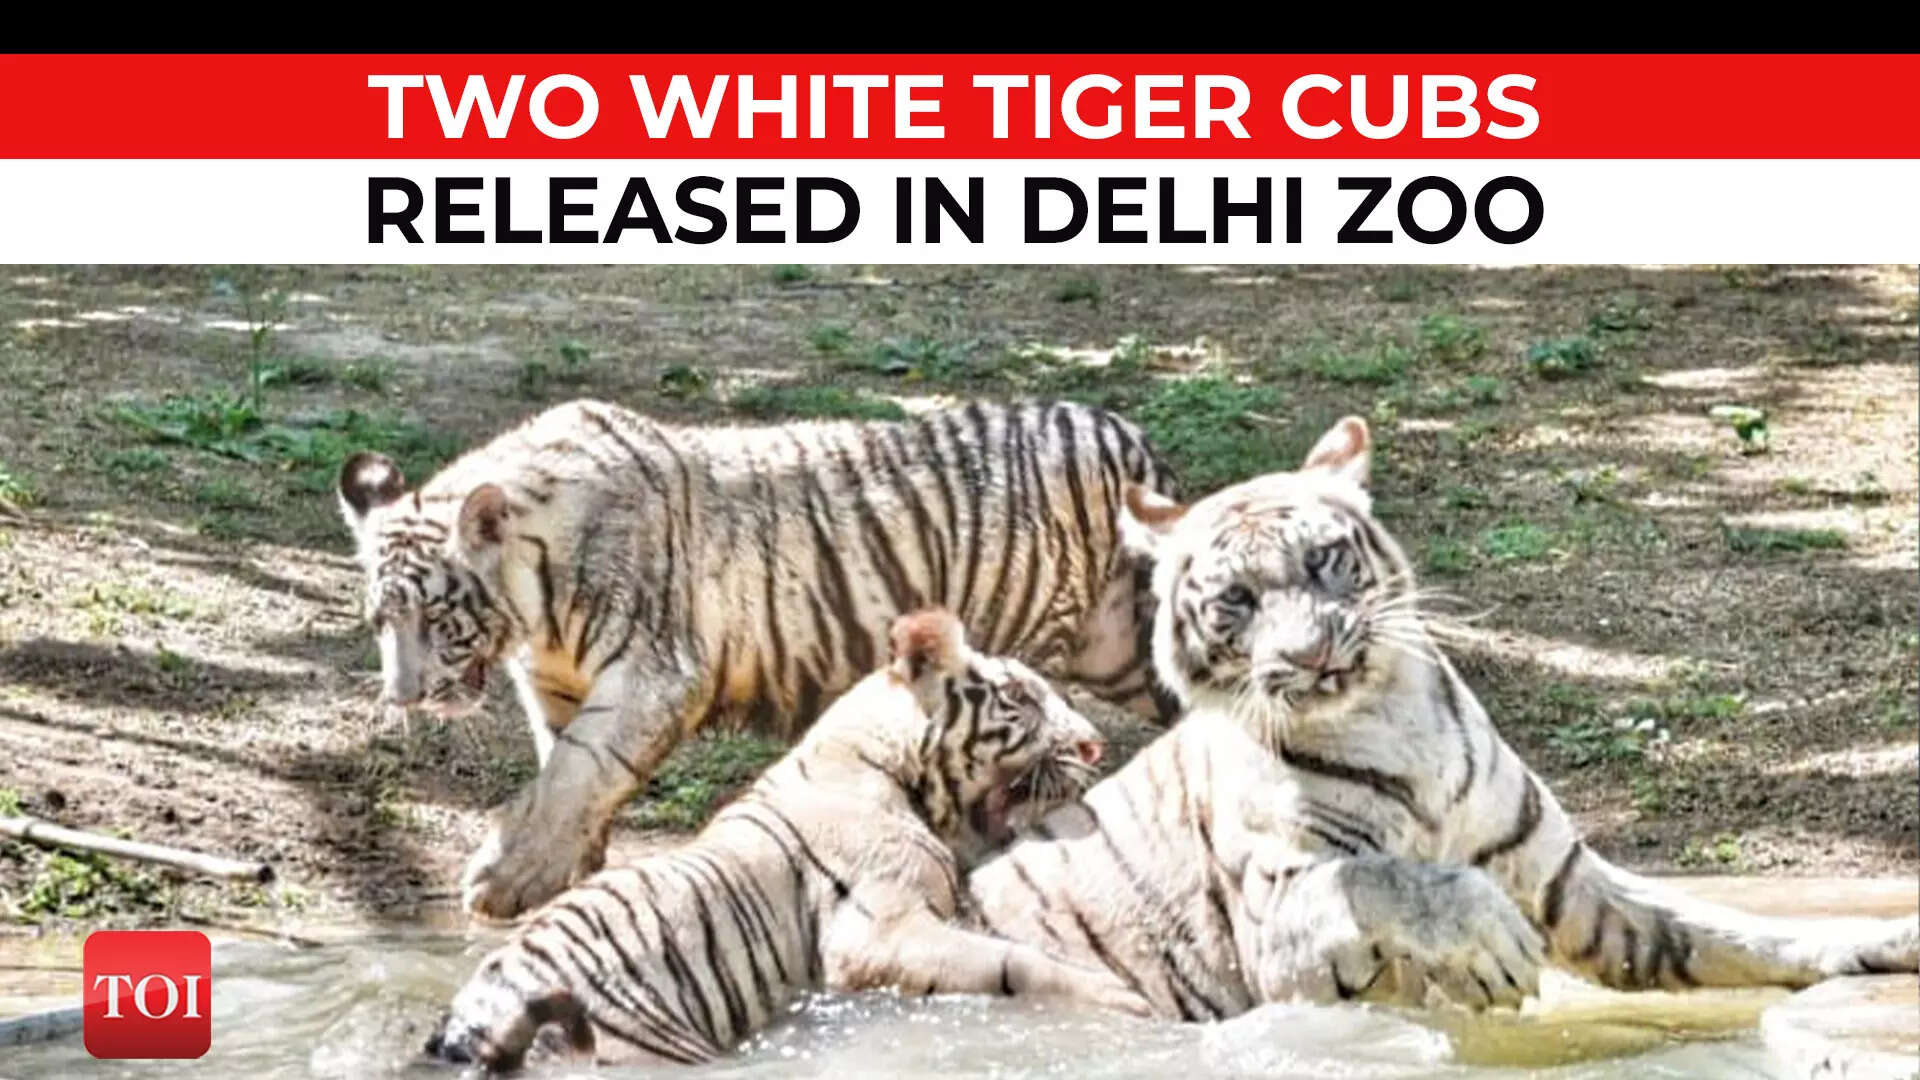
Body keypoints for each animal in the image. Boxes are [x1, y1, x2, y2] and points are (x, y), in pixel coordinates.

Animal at [335, 398, 1177, 919]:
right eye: (381, 620)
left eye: (436, 617)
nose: (403, 697)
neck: (532, 610)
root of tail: (1122, 433)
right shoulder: (557, 685)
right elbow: (561, 772)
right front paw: (564, 866)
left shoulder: (652, 674)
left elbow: (577, 771)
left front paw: (502, 880)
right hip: (1119, 643)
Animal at [424, 608, 1148, 1070]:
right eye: (1021, 699)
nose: (1095, 744)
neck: (903, 775)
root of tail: (473, 1018)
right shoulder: (875, 935)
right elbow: (1015, 963)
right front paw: (1122, 1001)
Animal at [964, 415, 1918, 1020]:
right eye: (1237, 600)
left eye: (1323, 559)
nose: (1310, 653)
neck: (1388, 719)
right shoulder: (1282, 922)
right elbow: (1392, 878)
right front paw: (1491, 945)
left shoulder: (1569, 879)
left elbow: (1730, 929)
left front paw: (1876, 946)